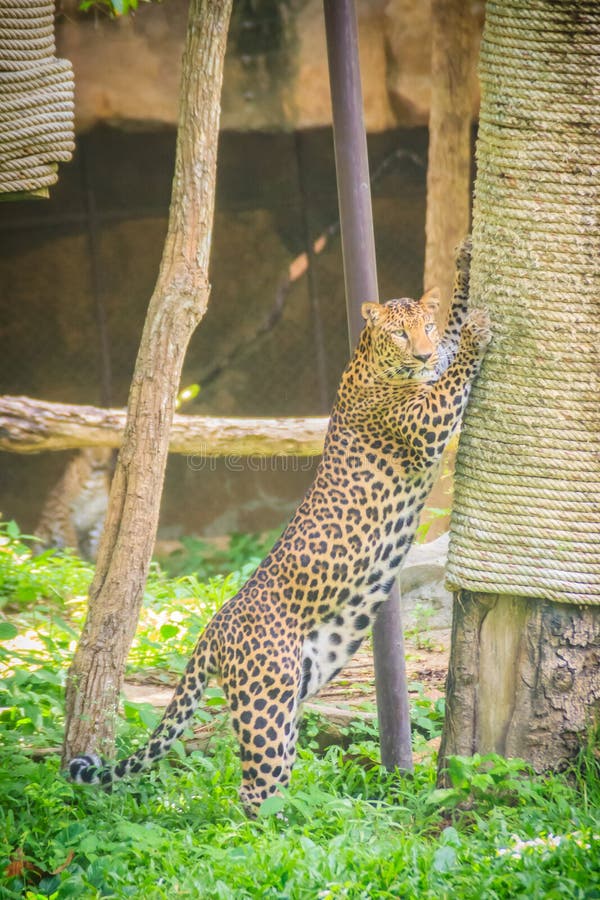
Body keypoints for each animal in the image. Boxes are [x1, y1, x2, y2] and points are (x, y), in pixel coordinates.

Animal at [69, 239, 491, 816]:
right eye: (400, 335)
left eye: (422, 327)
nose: (420, 354)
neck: (367, 357)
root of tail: (214, 627)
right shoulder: (426, 422)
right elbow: (452, 376)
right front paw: (477, 333)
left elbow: (450, 336)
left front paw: (465, 271)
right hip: (265, 705)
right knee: (254, 791)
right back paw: (298, 828)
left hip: (290, 695)